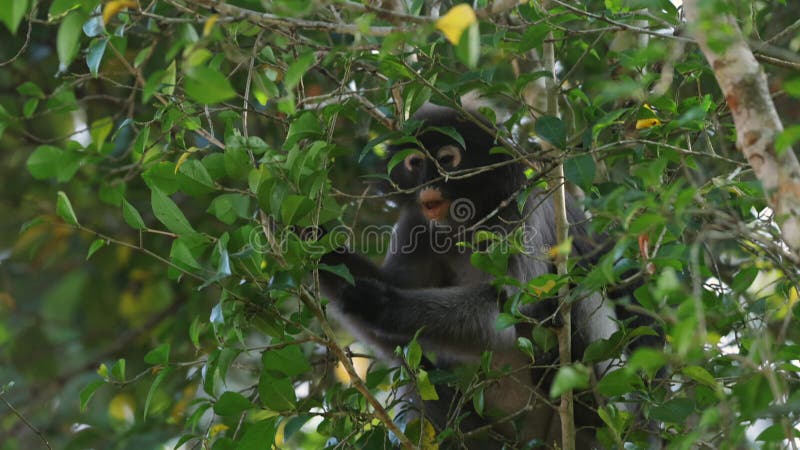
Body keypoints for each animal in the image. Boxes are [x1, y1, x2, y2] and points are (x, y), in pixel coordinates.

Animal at [319, 103, 621, 449]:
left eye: (446, 160)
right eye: (415, 163)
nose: (427, 183)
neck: (471, 217)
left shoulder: (526, 204)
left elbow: (506, 307)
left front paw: (381, 304)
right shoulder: (418, 221)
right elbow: (392, 339)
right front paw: (311, 242)